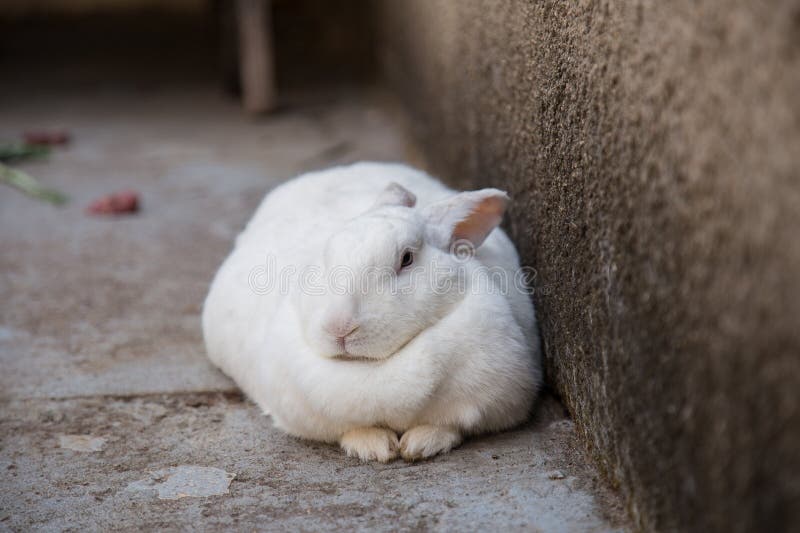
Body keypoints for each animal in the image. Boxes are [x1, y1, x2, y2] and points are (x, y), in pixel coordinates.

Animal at [202, 161, 541, 462]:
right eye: (326, 254)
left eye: (407, 259)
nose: (339, 328)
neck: (374, 368)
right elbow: (350, 431)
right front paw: (375, 448)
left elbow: (450, 426)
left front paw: (420, 445)